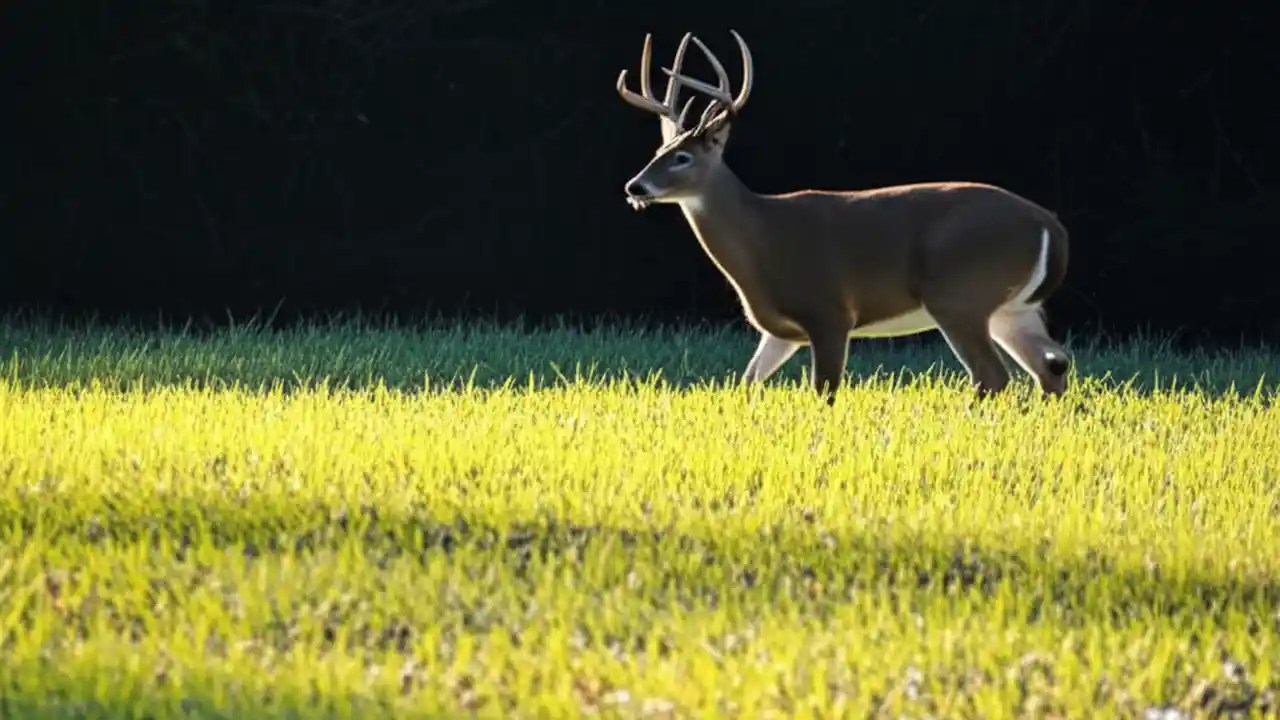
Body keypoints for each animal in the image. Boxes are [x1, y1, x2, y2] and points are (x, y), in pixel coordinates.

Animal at [615, 30, 1073, 405]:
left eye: (682, 158)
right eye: (658, 151)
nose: (635, 187)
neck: (762, 238)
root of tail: (1050, 225)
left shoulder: (829, 311)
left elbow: (825, 392)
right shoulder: (778, 332)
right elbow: (747, 383)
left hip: (961, 293)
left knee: (993, 376)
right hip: (1012, 308)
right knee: (1052, 367)